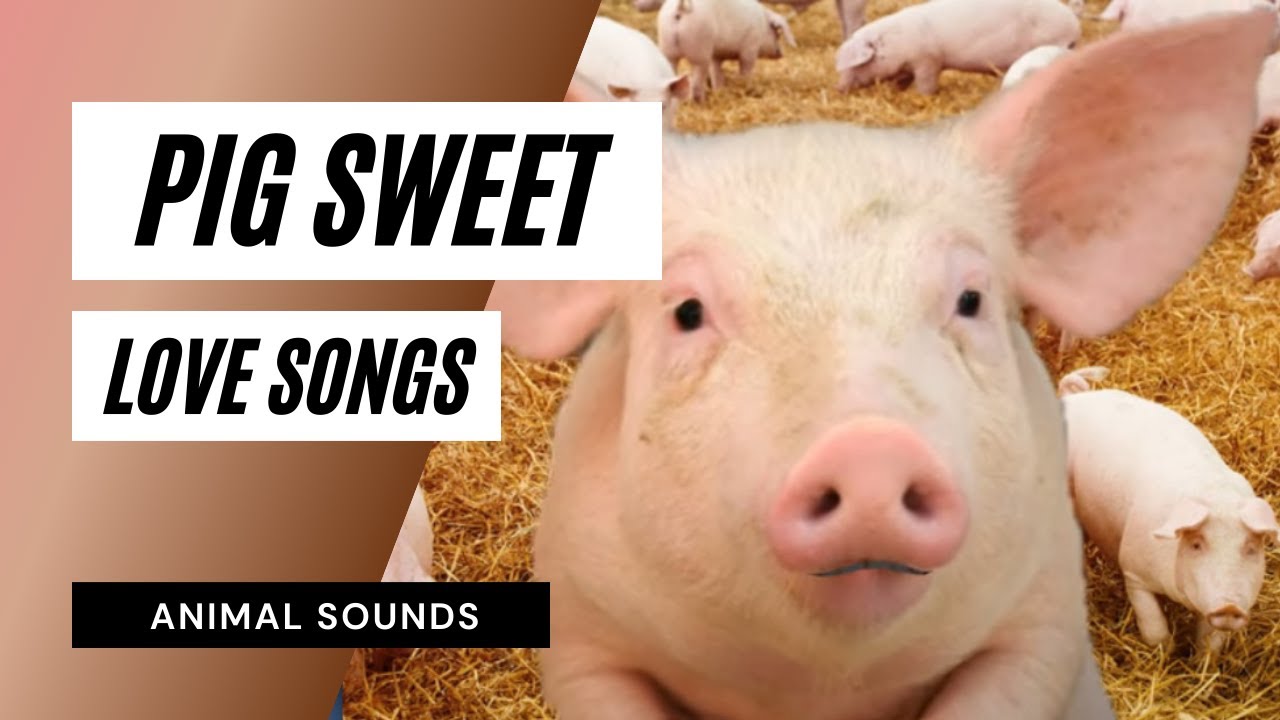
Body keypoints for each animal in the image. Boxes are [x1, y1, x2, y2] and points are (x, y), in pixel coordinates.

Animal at [657, 0, 797, 101]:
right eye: (777, 33)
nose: (780, 54)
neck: (762, 24)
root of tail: (681, 8)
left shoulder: (716, 55)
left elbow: (716, 74)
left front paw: (719, 91)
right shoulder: (750, 48)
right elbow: (746, 69)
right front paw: (746, 86)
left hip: (667, 48)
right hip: (699, 51)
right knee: (696, 83)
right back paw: (700, 102)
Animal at [835, 0, 1080, 95]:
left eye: (855, 64)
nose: (838, 88)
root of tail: (1072, 17)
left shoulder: (927, 60)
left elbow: (926, 83)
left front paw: (923, 95)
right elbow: (902, 81)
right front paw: (898, 91)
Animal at [1058, 367, 1279, 654]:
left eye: (1251, 548)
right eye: (1196, 544)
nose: (1230, 606)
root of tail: (1073, 398)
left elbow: (1210, 643)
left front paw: (1202, 659)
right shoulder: (1133, 570)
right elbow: (1154, 628)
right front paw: (1162, 651)